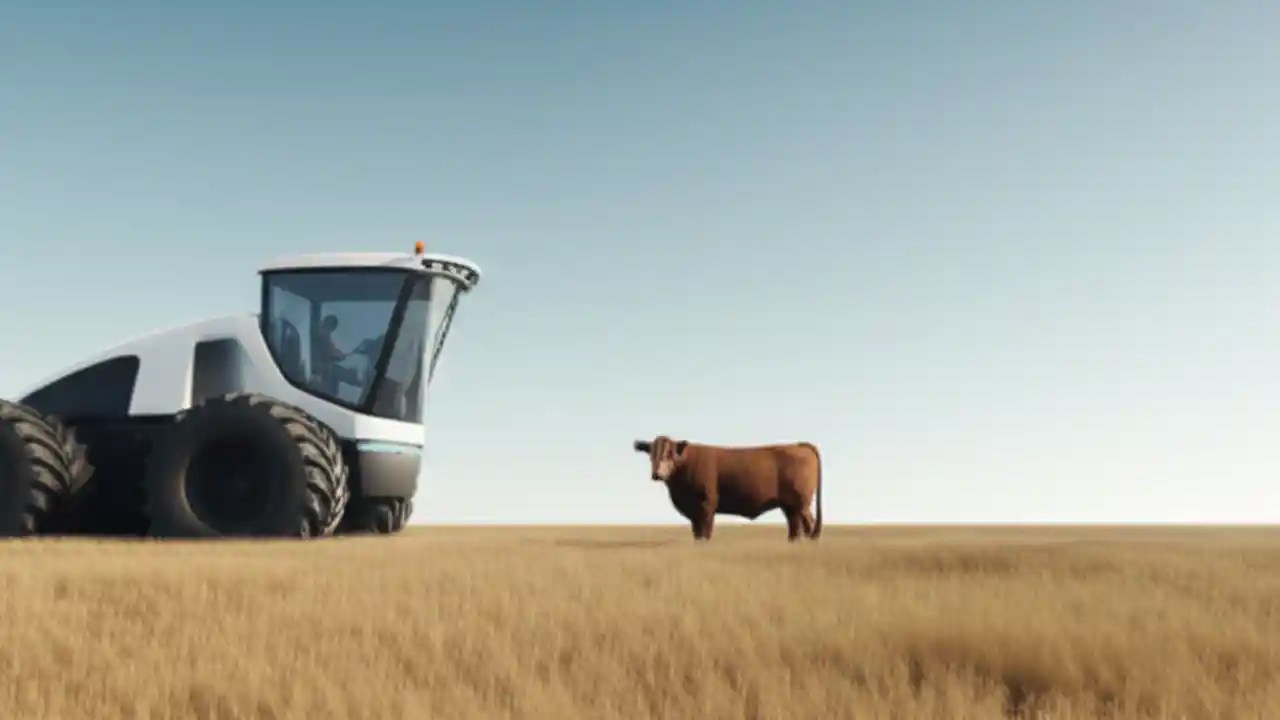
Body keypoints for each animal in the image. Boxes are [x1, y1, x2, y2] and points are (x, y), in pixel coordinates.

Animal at [632, 435, 823, 542]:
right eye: (651, 455)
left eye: (669, 454)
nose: (657, 474)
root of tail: (798, 445)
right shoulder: (694, 513)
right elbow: (697, 534)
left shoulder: (706, 506)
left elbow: (705, 533)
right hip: (790, 507)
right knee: (795, 528)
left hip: (801, 504)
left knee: (809, 524)